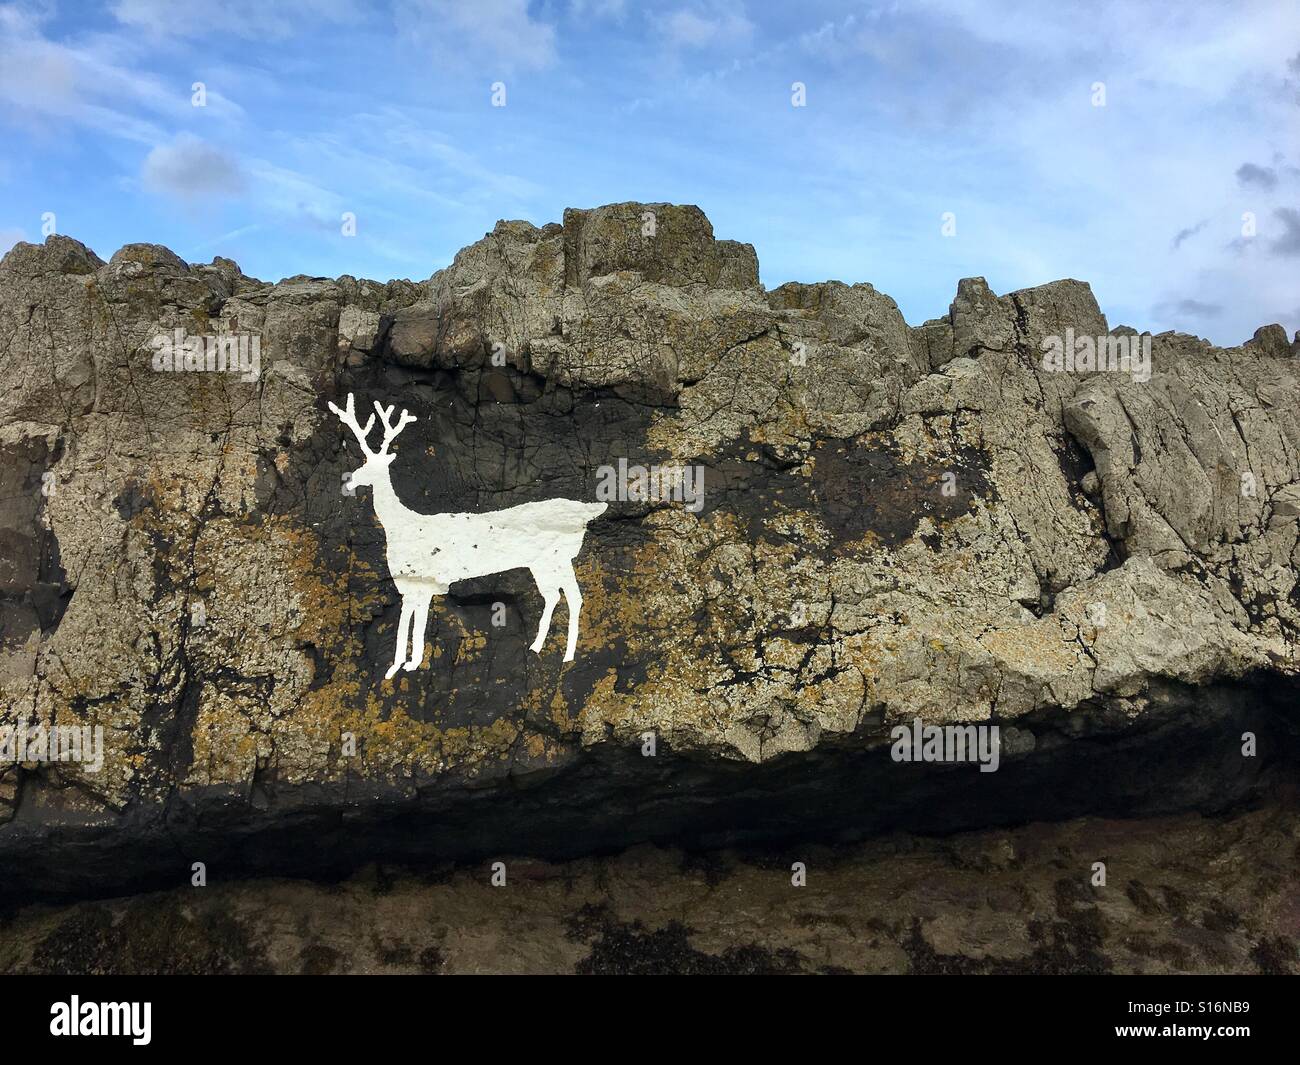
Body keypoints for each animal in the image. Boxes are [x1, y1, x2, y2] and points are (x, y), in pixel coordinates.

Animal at [328, 393, 607, 679]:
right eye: (363, 461)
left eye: (371, 465)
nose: (349, 481)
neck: (400, 527)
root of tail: (588, 511)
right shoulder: (407, 585)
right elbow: (406, 621)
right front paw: (396, 666)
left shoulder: (425, 581)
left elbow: (418, 623)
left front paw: (412, 663)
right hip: (547, 563)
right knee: (561, 596)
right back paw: (546, 649)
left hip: (554, 558)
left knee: (568, 596)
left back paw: (561, 653)